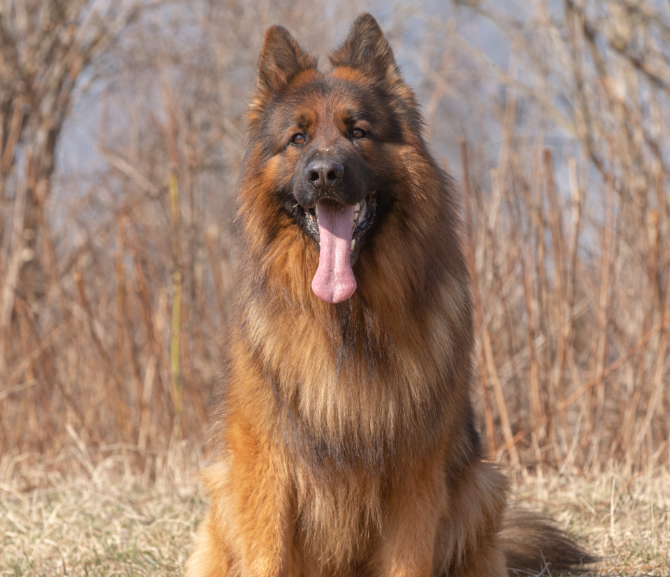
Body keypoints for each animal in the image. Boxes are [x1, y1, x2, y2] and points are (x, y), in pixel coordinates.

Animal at [186, 13, 596, 576]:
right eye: (298, 138)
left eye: (358, 132)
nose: (323, 173)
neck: (348, 324)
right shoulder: (265, 470)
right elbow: (267, 557)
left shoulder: (415, 476)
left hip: (483, 486)